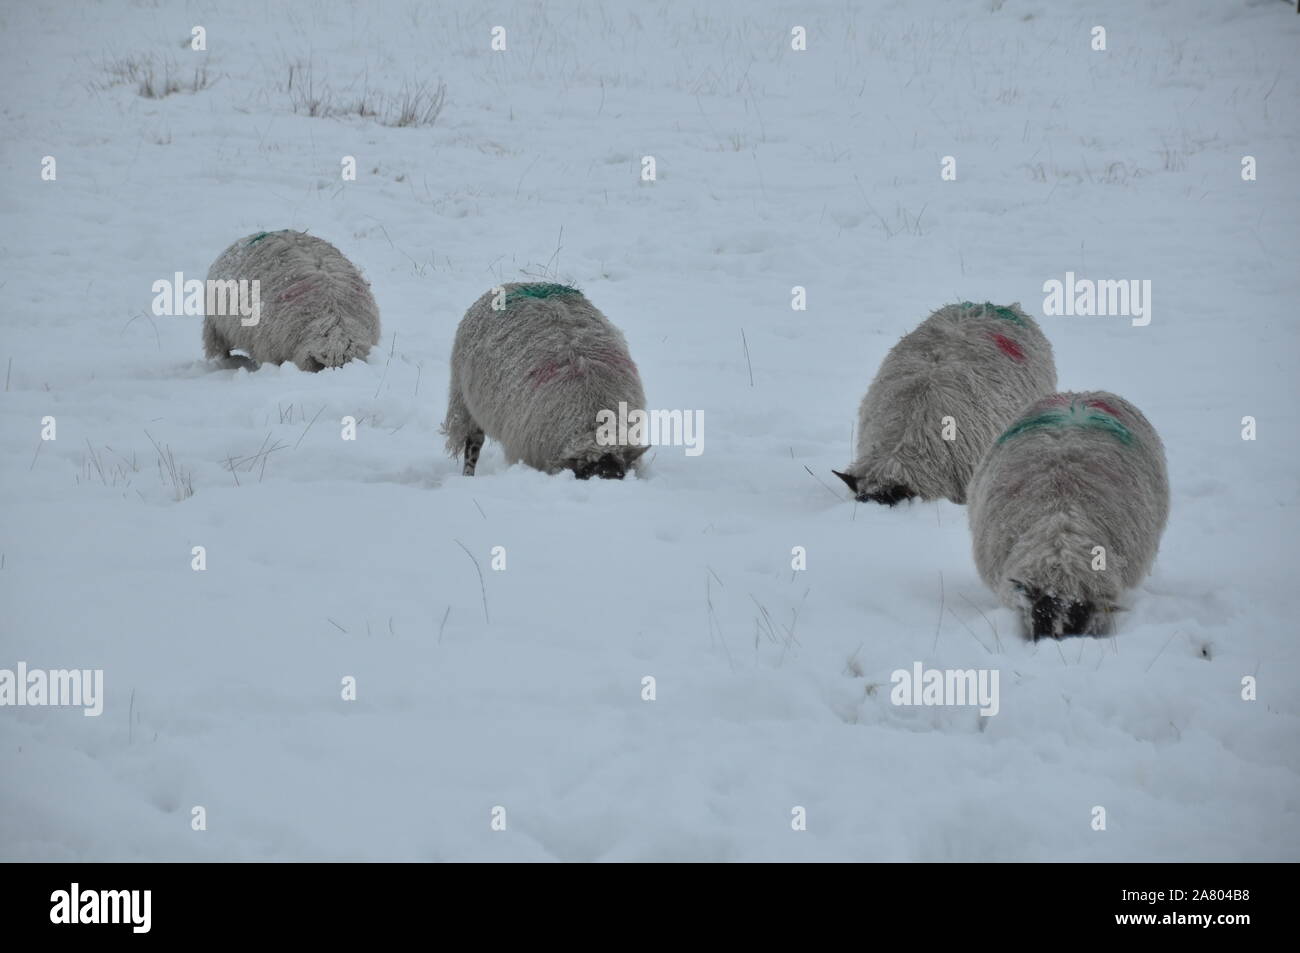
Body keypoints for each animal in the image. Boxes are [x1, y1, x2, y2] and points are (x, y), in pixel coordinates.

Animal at [441, 283, 649, 479]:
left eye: (620, 477)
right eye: (586, 477)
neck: (591, 419)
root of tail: (519, 283)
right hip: (464, 401)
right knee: (472, 446)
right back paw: (468, 476)